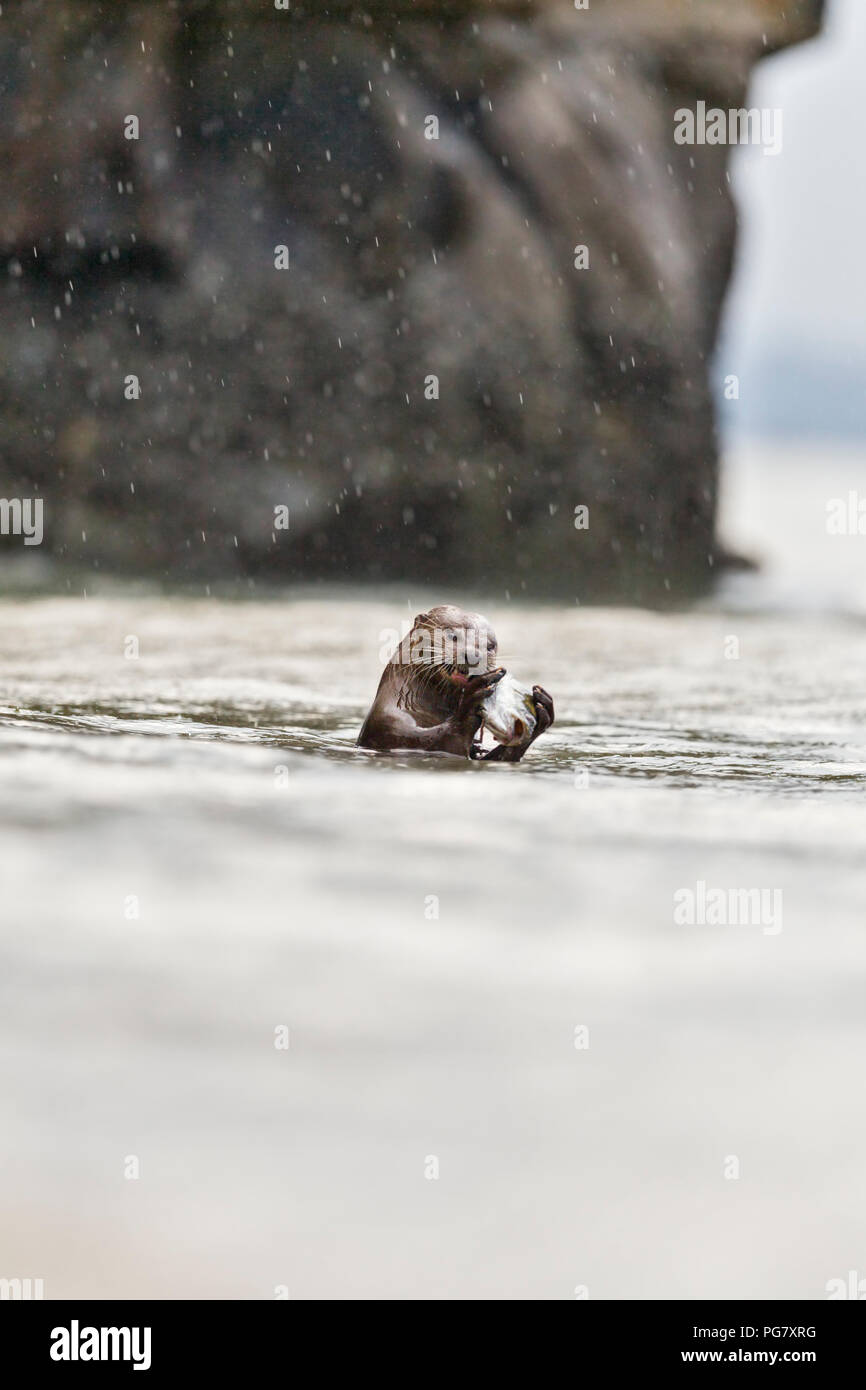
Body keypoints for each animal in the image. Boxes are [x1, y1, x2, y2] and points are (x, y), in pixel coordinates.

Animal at [357, 605, 553, 761]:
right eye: (453, 635)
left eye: (490, 646)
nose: (473, 654)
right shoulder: (390, 727)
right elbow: (442, 742)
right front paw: (472, 698)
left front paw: (542, 709)